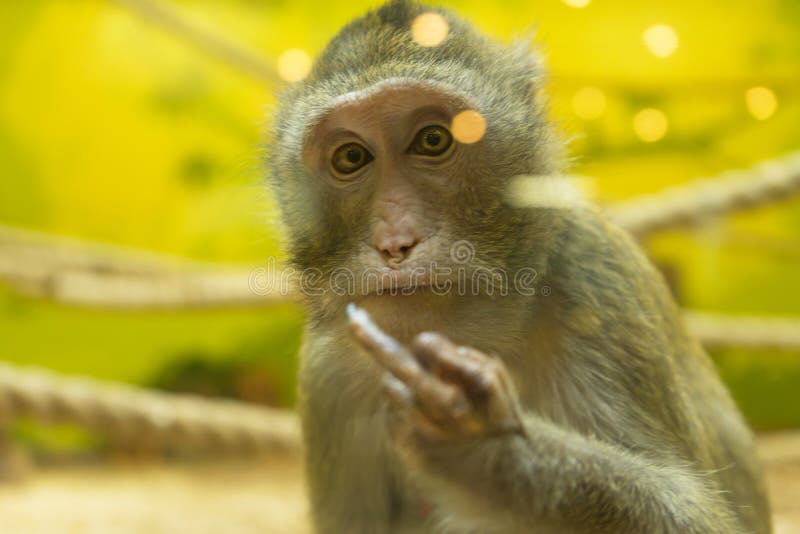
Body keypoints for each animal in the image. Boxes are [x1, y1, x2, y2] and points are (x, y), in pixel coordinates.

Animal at [265, 1, 772, 532]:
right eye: (350, 156)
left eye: (432, 140)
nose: (395, 243)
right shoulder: (326, 374)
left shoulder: (599, 283)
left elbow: (697, 516)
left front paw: (490, 450)